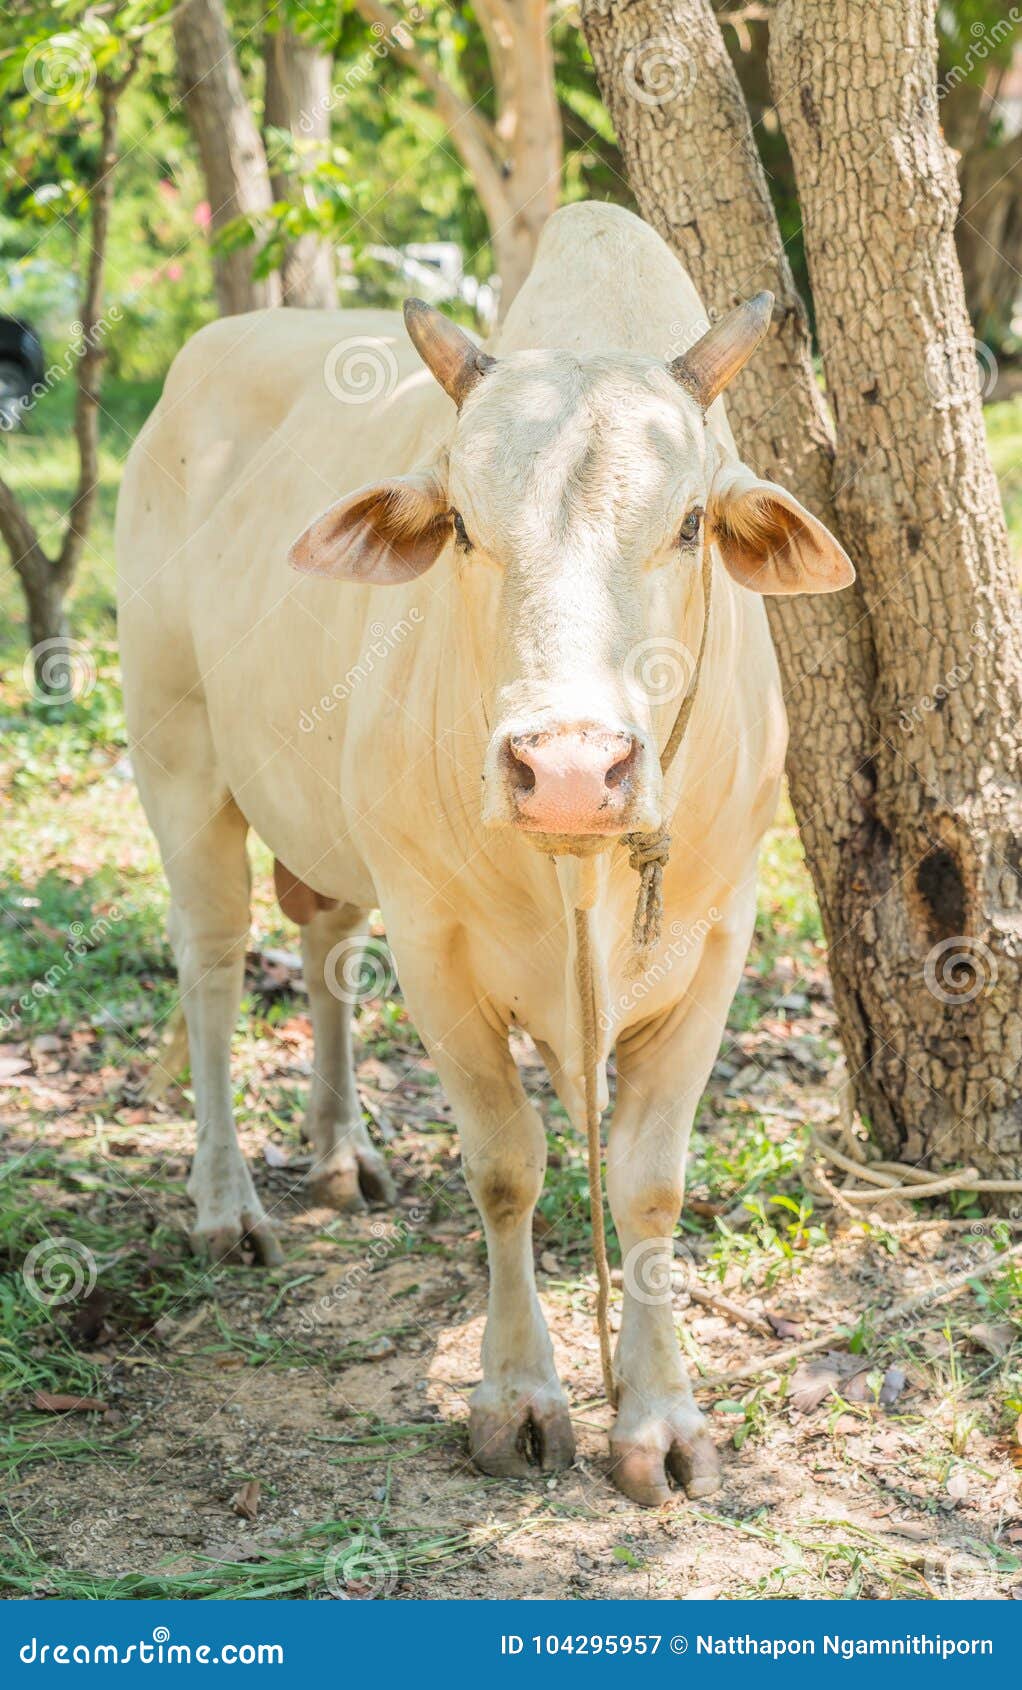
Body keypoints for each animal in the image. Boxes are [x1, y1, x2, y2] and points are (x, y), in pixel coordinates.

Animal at [116, 202, 853, 1506]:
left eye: (690, 524)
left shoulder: (716, 940)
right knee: (211, 970)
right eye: (460, 524)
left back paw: (342, 1153)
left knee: (323, 952)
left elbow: (647, 1180)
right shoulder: (435, 941)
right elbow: (506, 1163)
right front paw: (517, 1398)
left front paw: (660, 1419)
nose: (566, 768)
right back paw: (225, 1202)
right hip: (182, 763)